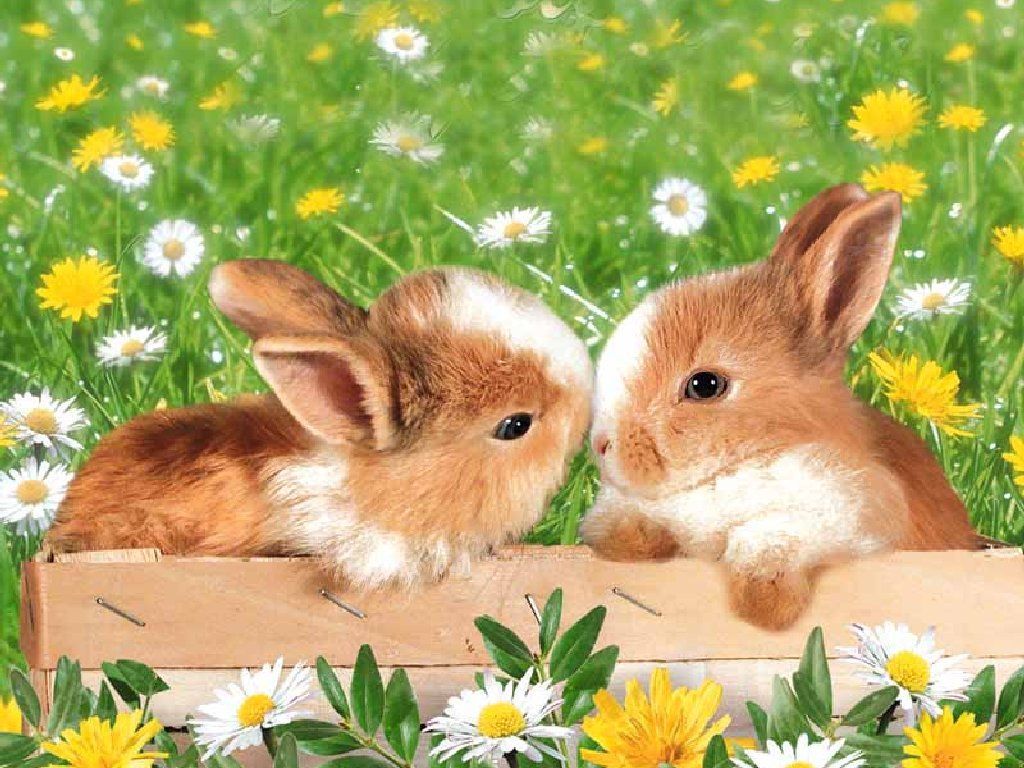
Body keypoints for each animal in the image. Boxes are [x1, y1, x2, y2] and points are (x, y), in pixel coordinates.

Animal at [580, 184, 979, 630]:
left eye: (704, 385)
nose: (601, 444)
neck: (754, 453)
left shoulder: (844, 517)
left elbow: (769, 538)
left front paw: (764, 605)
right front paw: (618, 537)